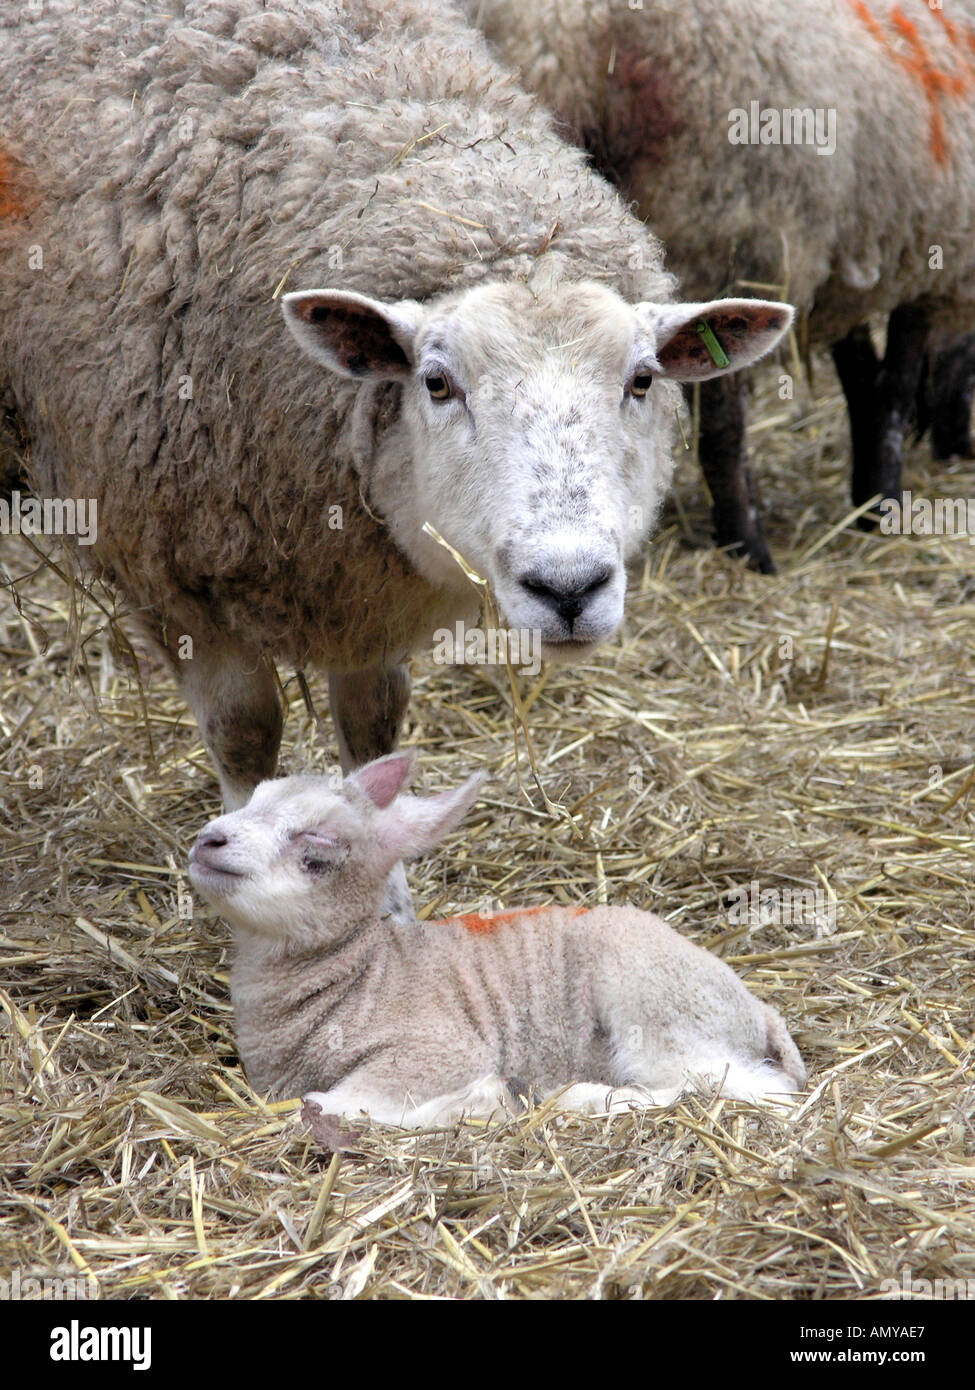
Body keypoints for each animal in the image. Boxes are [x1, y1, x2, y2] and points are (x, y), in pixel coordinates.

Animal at [0, 0, 792, 857]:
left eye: (641, 380)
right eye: (436, 384)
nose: (569, 588)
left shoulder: (364, 592)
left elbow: (373, 734)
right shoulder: (170, 569)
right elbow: (246, 733)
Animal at [187, 751, 807, 1124]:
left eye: (318, 849)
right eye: (254, 797)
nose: (208, 840)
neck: (359, 976)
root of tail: (756, 1009)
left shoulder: (435, 1049)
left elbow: (325, 1107)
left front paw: (482, 1101)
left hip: (653, 1001)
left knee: (739, 1085)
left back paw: (577, 1097)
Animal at [469, 0, 975, 570]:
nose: (961, 447)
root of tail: (561, 37)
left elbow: (863, 374)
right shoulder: (934, 250)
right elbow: (894, 388)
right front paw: (884, 504)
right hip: (729, 234)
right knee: (723, 427)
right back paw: (749, 545)